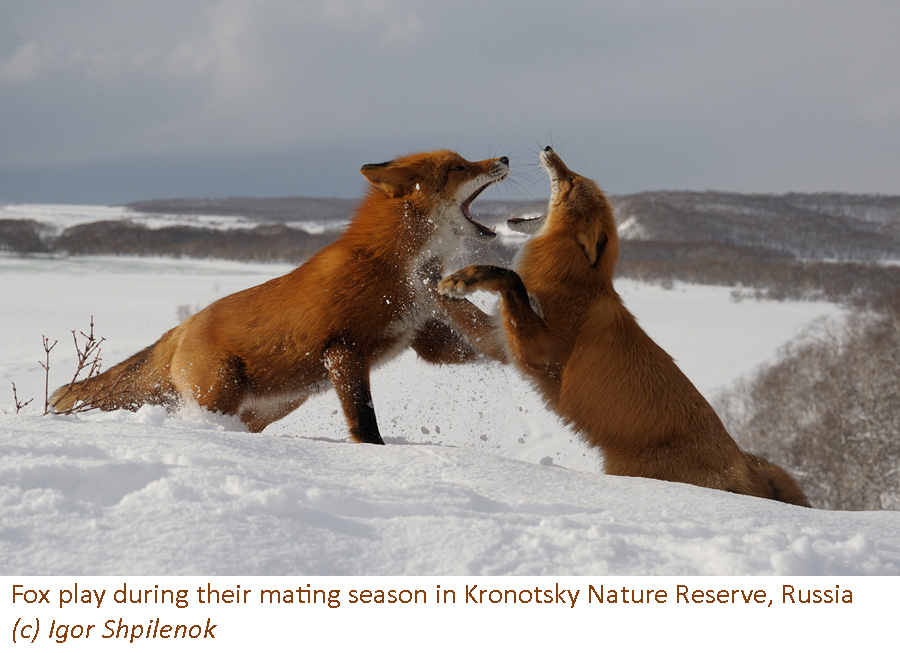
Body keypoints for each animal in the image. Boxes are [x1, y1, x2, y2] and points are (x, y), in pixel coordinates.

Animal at [51, 150, 510, 444]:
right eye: (458, 167)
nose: (504, 158)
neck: (389, 265)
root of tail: (184, 325)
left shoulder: (425, 338)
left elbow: (476, 344)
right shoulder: (343, 349)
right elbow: (365, 424)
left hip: (268, 408)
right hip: (220, 395)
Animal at [438, 146, 809, 506]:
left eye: (571, 181)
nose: (548, 147)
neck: (572, 281)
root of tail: (740, 466)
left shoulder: (537, 355)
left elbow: (508, 277)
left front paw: (465, 276)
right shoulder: (500, 341)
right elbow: (459, 306)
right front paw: (432, 281)